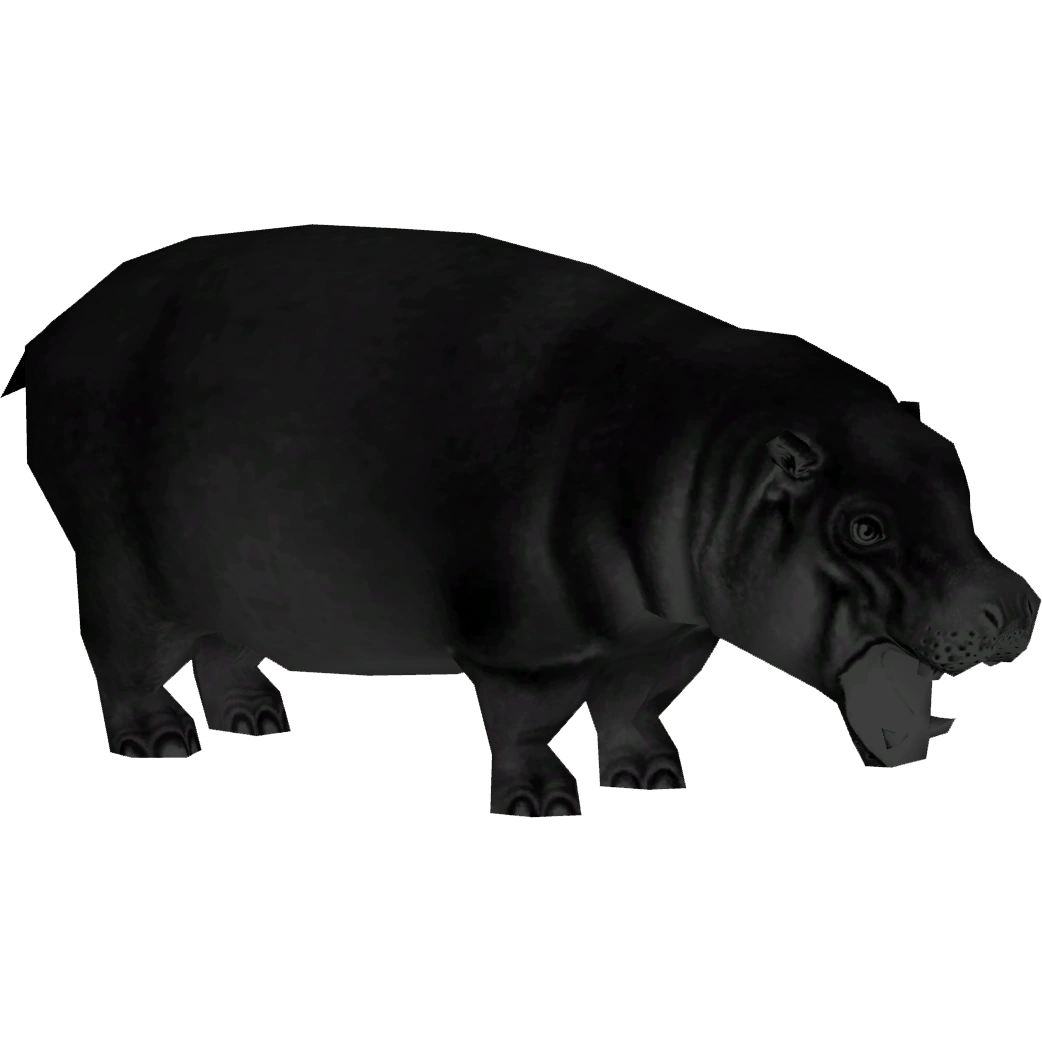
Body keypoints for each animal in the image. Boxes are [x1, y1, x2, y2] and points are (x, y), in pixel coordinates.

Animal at [3, 223, 1037, 818]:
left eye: (958, 472)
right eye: (862, 527)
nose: (1017, 604)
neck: (710, 453)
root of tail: (55, 324)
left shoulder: (670, 632)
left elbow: (637, 702)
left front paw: (653, 783)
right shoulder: (525, 641)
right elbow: (531, 718)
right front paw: (542, 805)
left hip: (221, 572)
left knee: (221, 643)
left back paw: (258, 722)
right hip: (119, 558)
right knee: (122, 654)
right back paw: (160, 746)